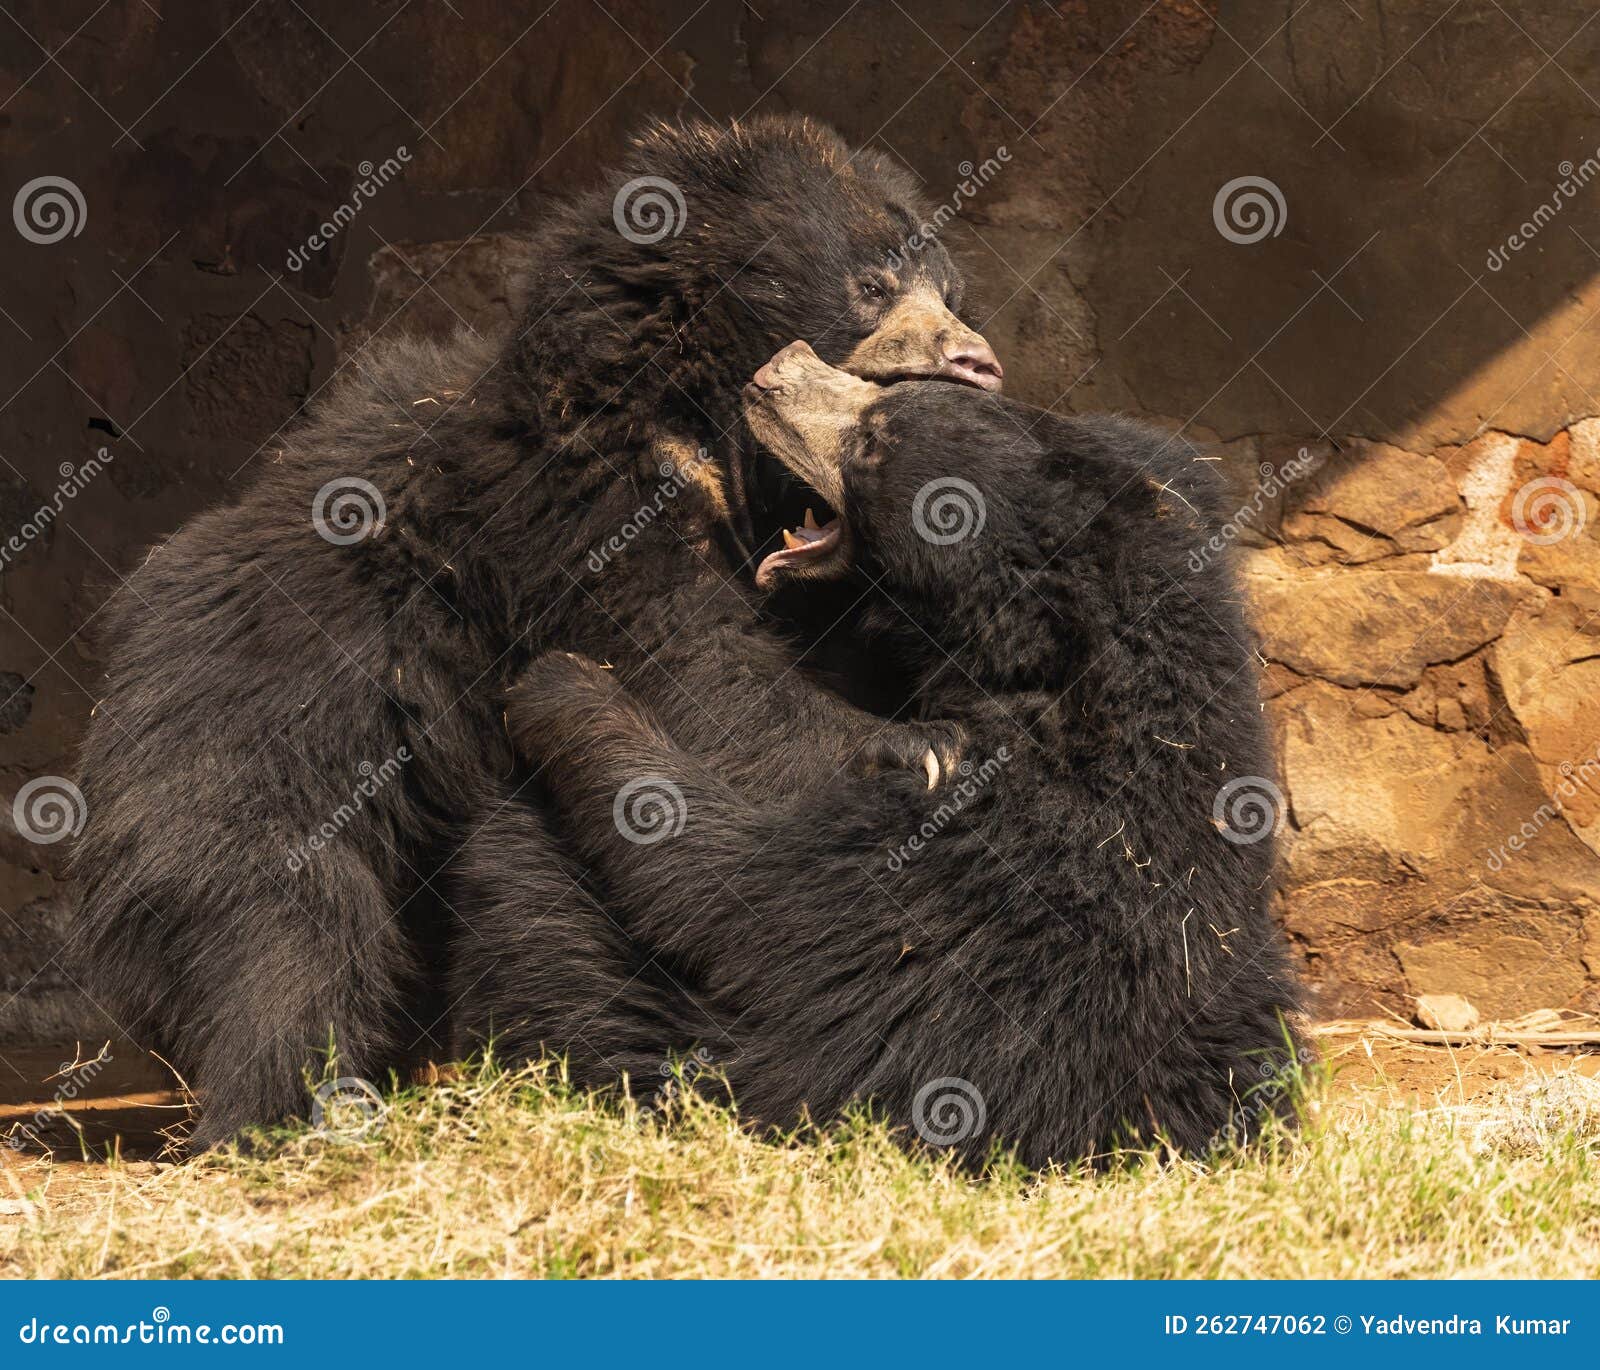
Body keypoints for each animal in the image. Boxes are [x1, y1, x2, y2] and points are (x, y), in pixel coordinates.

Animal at [70, 117, 1003, 1147]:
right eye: (871, 283)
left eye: (949, 291)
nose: (978, 363)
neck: (696, 428)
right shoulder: (565, 514)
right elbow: (701, 677)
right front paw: (925, 746)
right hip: (251, 724)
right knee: (278, 927)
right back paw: (286, 1106)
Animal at [484, 340, 1304, 1168]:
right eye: (888, 393)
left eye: (874, 440)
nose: (777, 370)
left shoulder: (1001, 867)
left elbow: (750, 891)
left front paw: (562, 685)